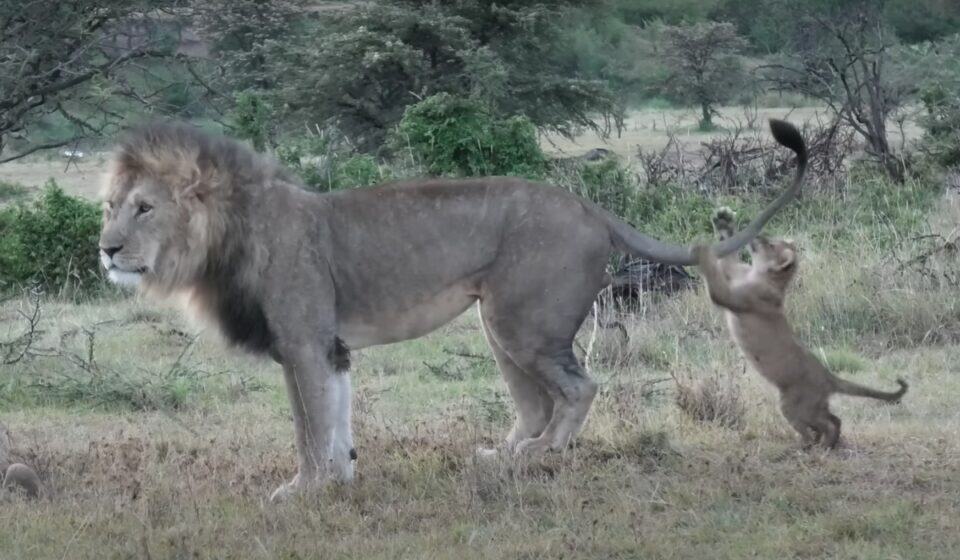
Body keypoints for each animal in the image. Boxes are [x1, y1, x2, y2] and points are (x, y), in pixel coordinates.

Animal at [99, 119, 806, 500]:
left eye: (145, 208)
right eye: (109, 206)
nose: (105, 249)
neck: (226, 236)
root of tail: (588, 204)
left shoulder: (301, 343)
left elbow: (309, 428)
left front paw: (304, 492)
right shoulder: (330, 349)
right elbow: (337, 421)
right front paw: (342, 481)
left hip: (524, 323)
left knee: (578, 388)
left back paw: (544, 456)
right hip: (499, 323)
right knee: (536, 402)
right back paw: (503, 455)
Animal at [692, 209, 907, 449]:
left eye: (770, 244)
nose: (758, 236)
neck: (761, 275)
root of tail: (828, 376)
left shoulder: (731, 296)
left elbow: (713, 275)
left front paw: (701, 249)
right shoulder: (734, 274)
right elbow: (728, 259)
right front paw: (724, 221)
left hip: (794, 405)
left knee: (822, 424)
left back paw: (812, 444)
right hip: (814, 405)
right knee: (834, 419)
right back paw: (825, 443)